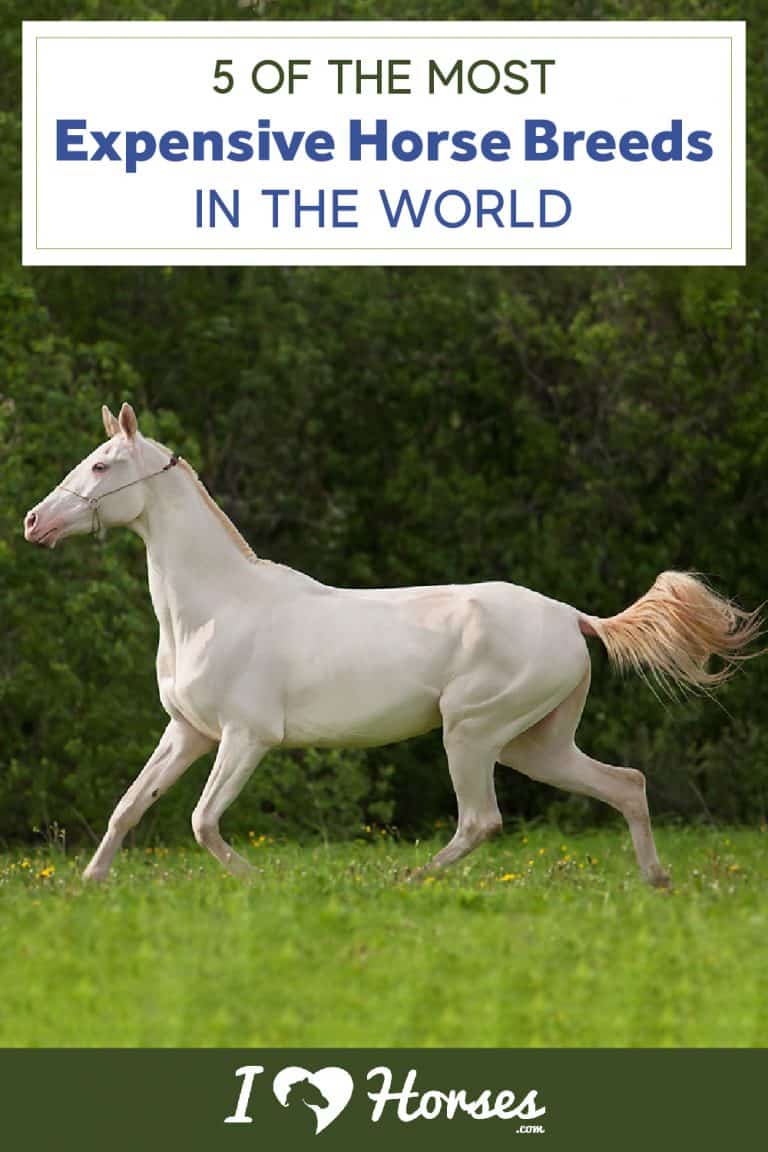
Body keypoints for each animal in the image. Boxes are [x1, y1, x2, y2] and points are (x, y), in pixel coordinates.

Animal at [23, 402, 762, 885]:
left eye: (101, 465)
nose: (33, 522)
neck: (211, 610)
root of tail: (573, 618)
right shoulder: (188, 731)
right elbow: (127, 808)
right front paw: (89, 884)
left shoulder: (246, 736)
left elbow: (204, 822)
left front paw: (259, 883)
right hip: (535, 744)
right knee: (626, 784)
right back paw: (656, 883)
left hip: (471, 733)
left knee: (482, 821)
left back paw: (409, 881)